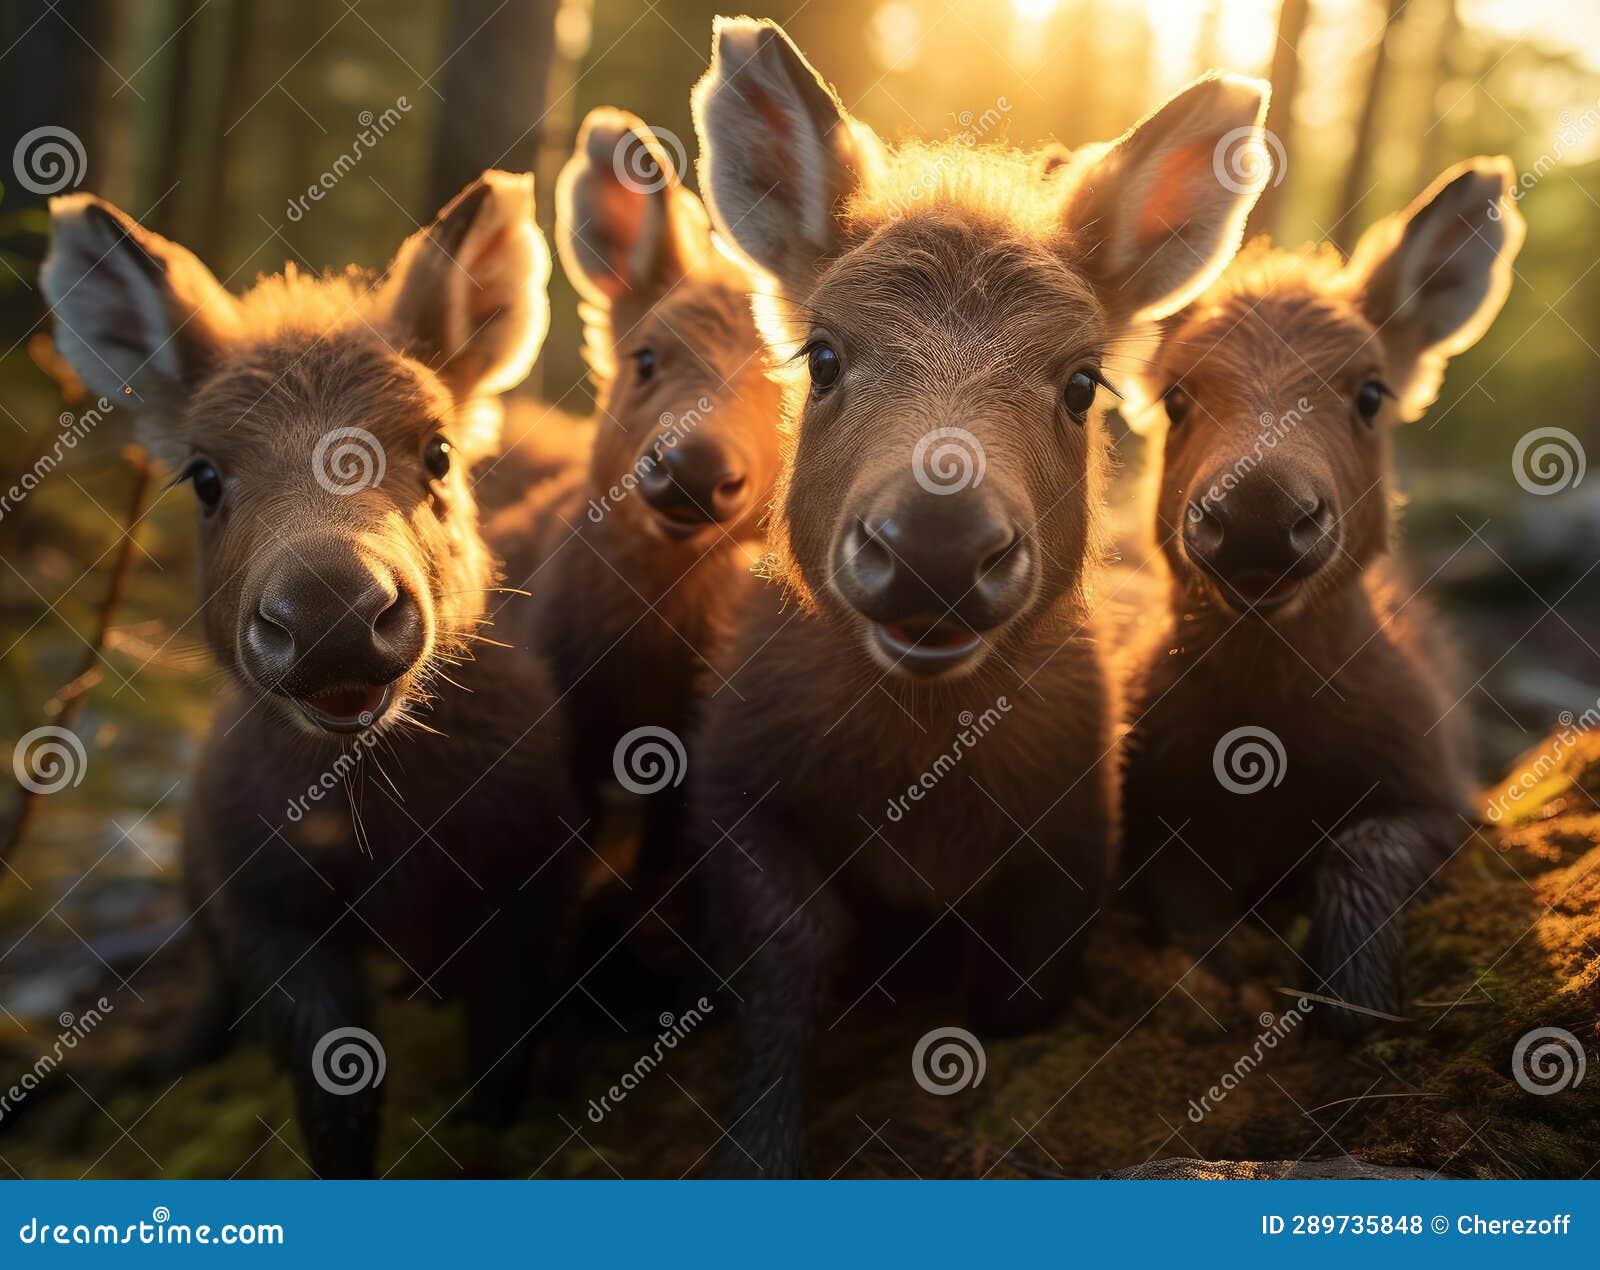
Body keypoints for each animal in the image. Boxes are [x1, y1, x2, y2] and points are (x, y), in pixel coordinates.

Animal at [41, 171, 586, 1176]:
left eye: (438, 449)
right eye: (203, 474)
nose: (332, 620)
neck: (382, 834)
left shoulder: (539, 884)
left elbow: (497, 1082)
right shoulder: (264, 912)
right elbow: (336, 1096)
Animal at [686, 16, 1271, 1176]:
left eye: (1082, 380)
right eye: (823, 354)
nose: (936, 548)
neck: (921, 770)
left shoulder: (1076, 840)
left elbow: (1019, 993)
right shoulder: (733, 794)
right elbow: (784, 959)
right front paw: (759, 1140)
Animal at [1117, 157, 1526, 1035]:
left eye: (1370, 393)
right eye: (1175, 395)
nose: (1259, 518)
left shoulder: (1452, 798)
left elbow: (1364, 845)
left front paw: (1354, 987)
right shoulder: (1145, 814)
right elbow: (1184, 898)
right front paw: (1216, 980)